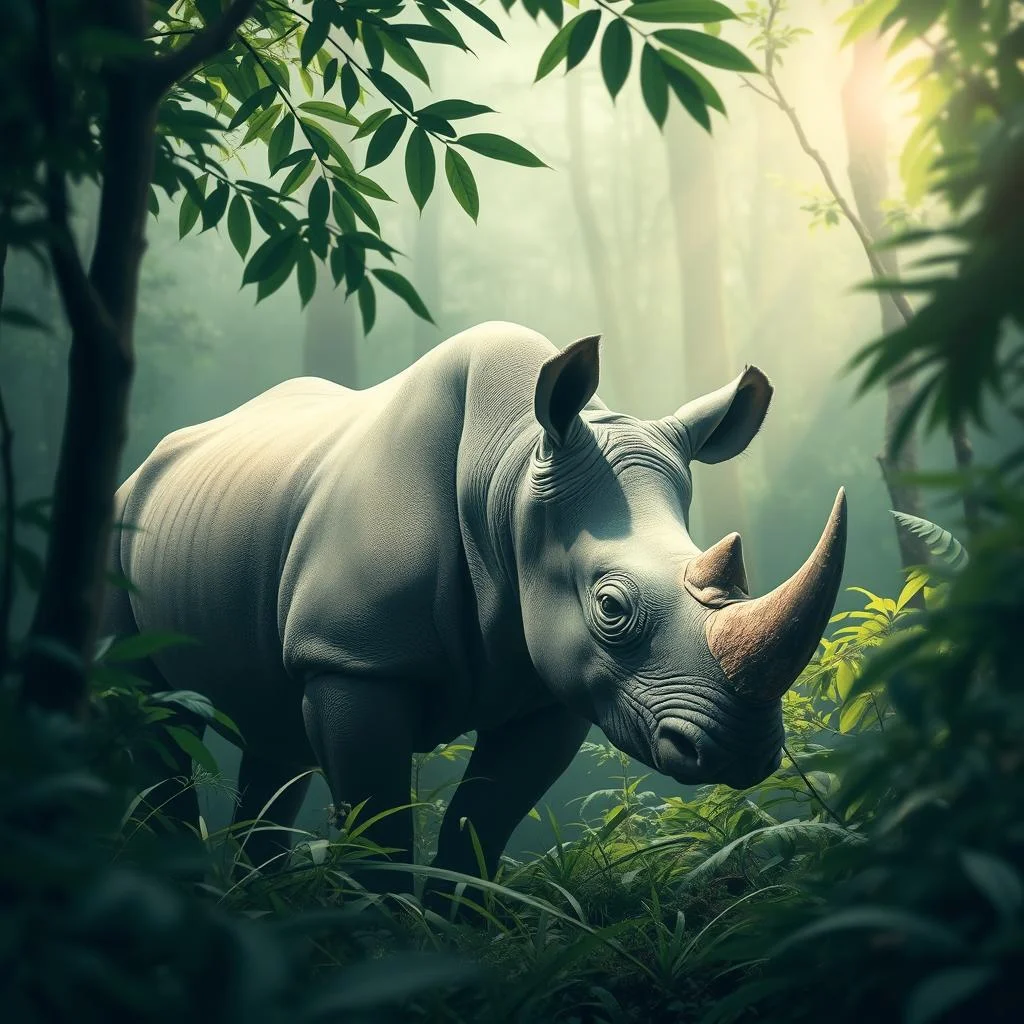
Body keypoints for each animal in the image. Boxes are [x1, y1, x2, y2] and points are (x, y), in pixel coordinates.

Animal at [103, 321, 846, 883]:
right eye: (611, 607)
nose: (742, 750)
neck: (510, 473)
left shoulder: (557, 688)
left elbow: (481, 827)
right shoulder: (351, 658)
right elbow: (379, 828)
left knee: (271, 732)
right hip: (118, 522)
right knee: (154, 711)